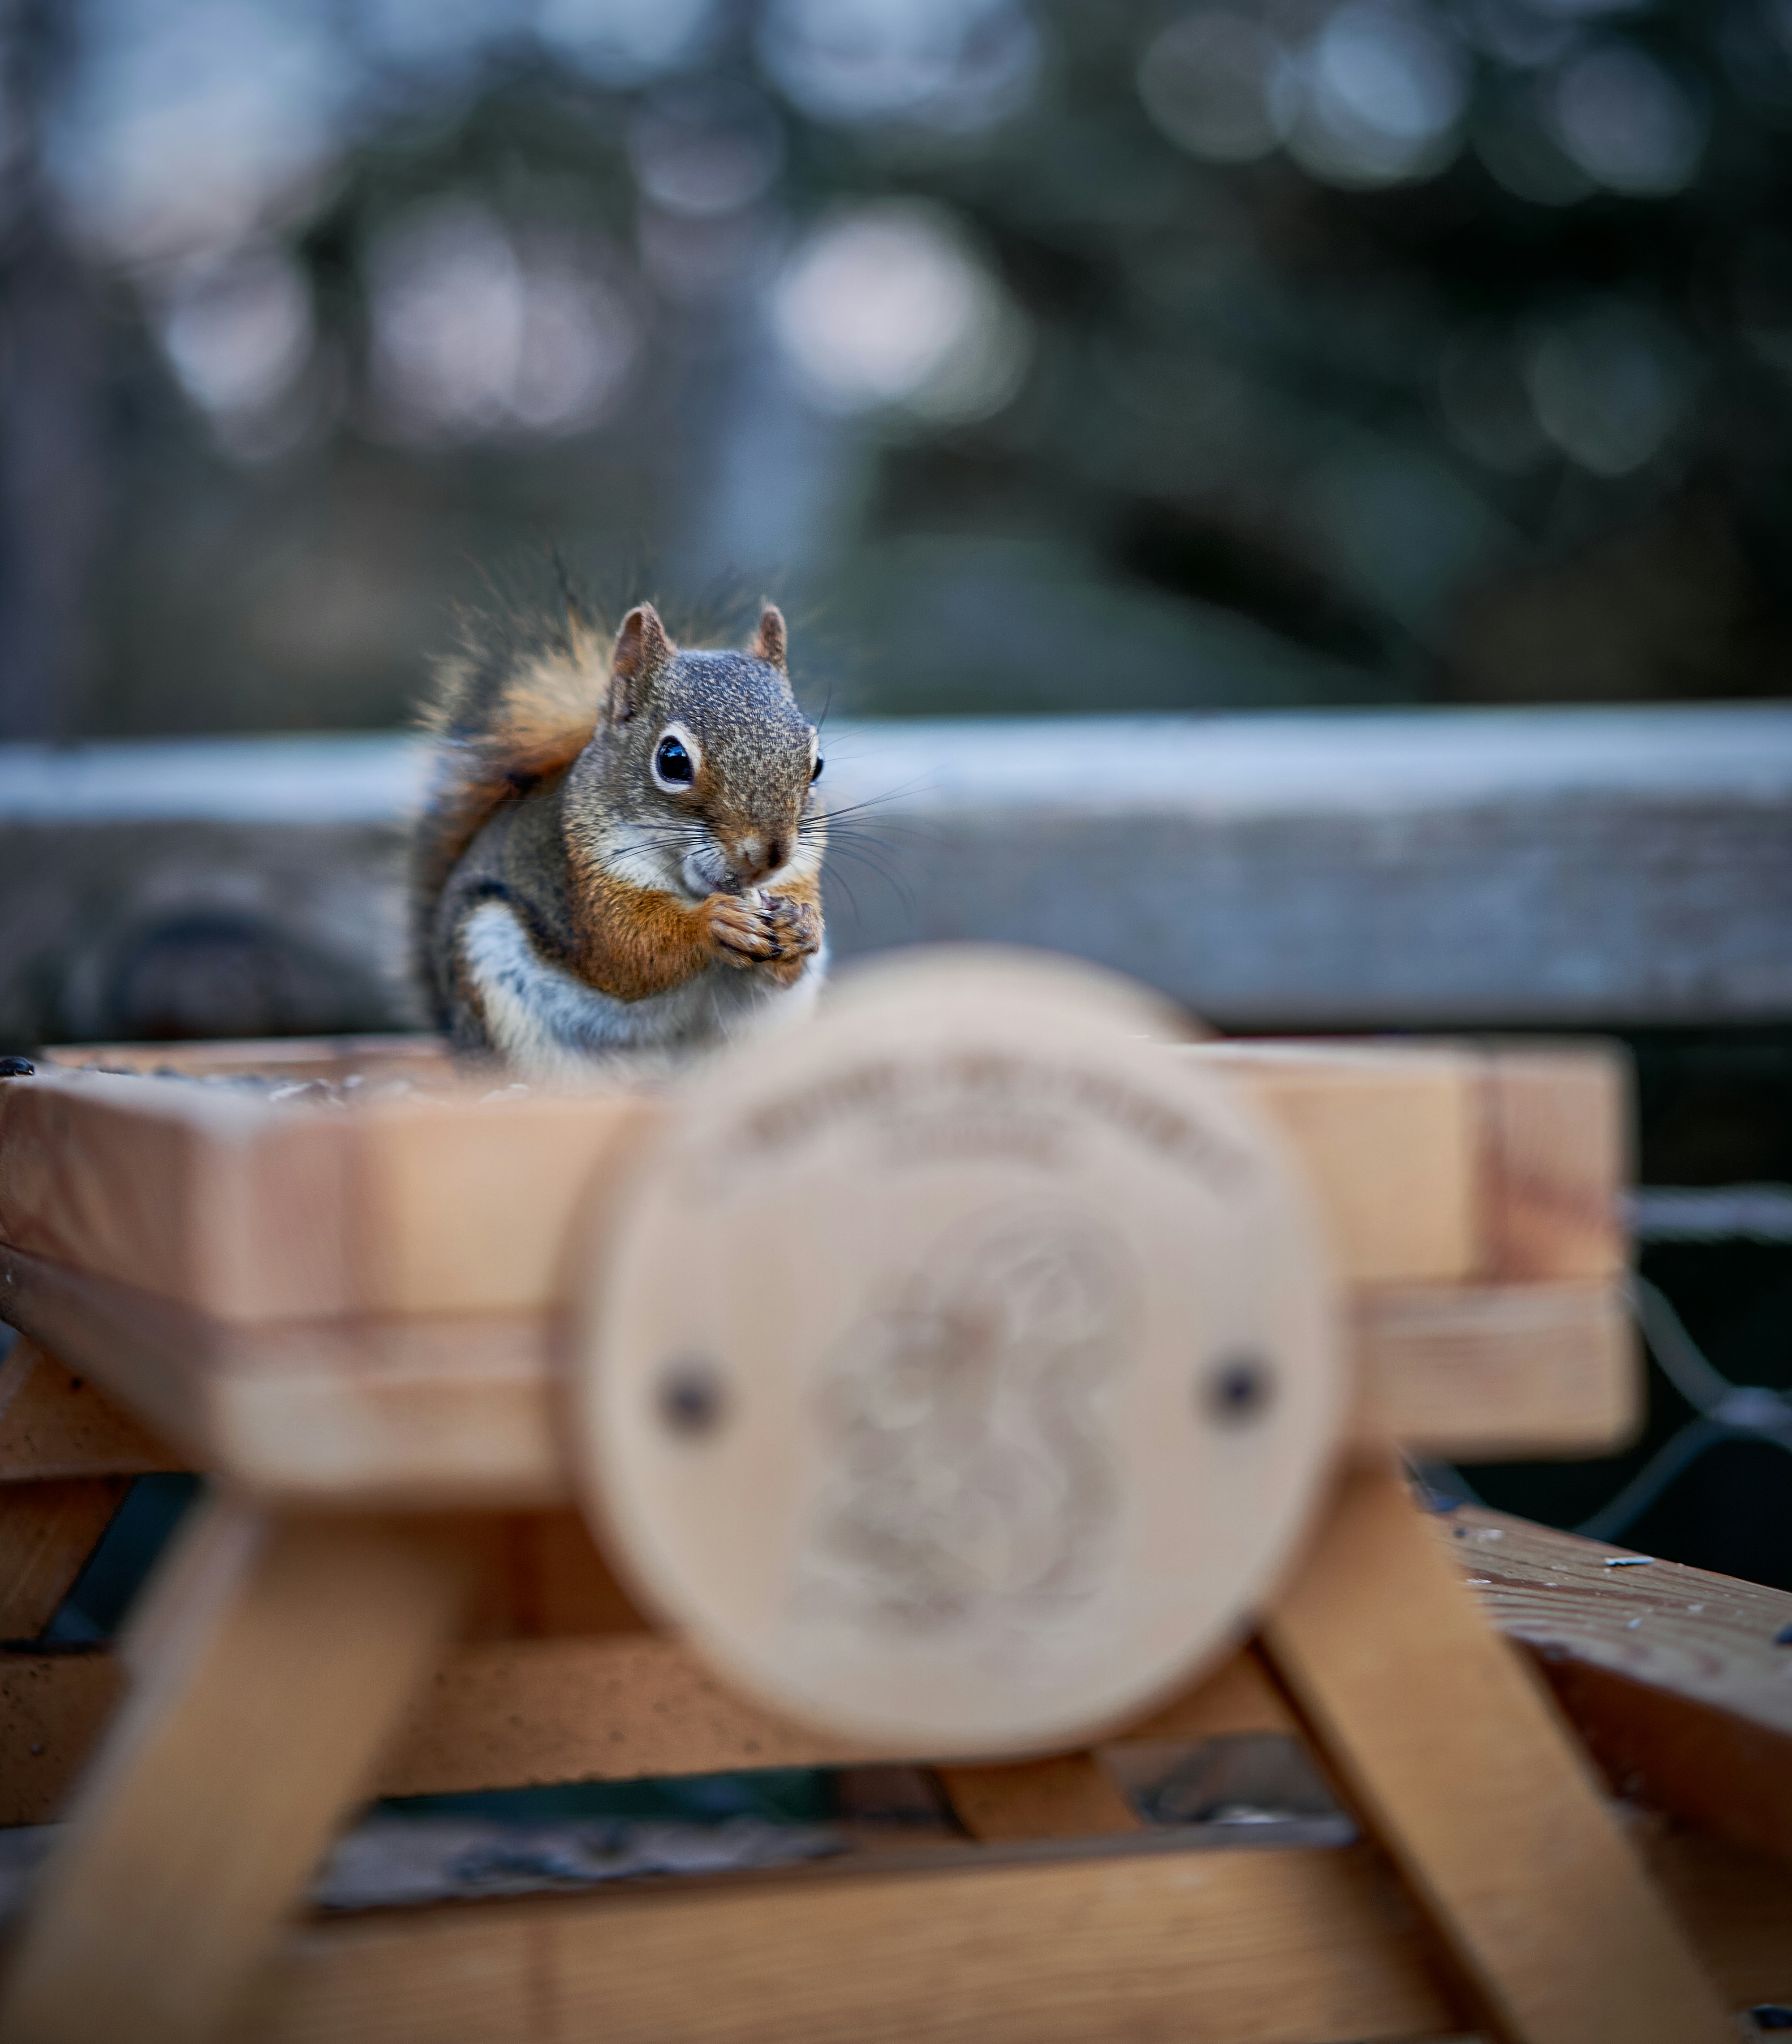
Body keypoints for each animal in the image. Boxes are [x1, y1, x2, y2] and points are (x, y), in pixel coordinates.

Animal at [412, 591, 826, 1081]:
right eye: (672, 760)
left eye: (818, 764)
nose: (772, 854)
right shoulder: (585, 882)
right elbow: (627, 951)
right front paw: (714, 922)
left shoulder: (801, 871)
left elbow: (790, 965)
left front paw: (802, 925)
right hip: (487, 969)